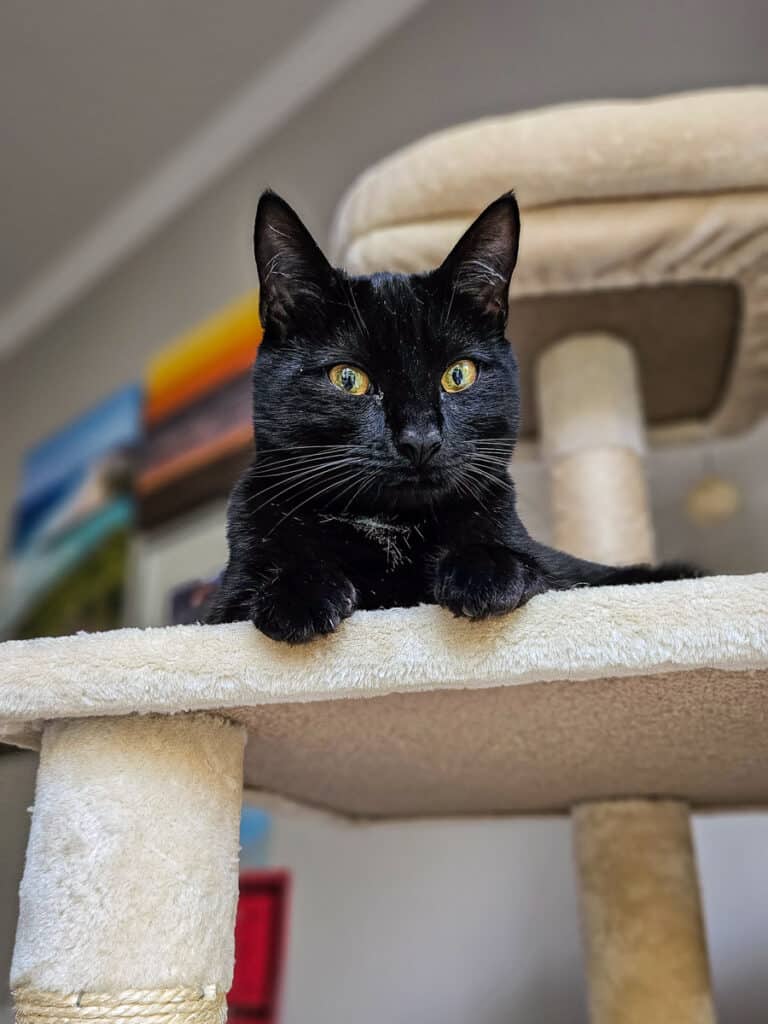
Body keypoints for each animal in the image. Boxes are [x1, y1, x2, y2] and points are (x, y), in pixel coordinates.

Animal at [207, 191, 696, 638]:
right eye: (348, 379)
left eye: (458, 375)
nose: (420, 439)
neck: (390, 526)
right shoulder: (221, 606)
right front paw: (298, 592)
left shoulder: (554, 570)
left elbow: (533, 569)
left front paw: (485, 573)